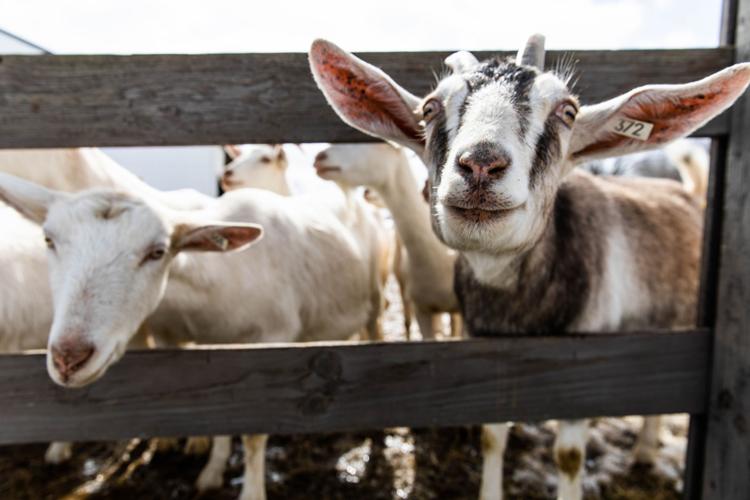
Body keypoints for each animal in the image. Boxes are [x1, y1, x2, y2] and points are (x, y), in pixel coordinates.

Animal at [0, 176, 384, 500]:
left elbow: (254, 429)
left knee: (374, 329)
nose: (69, 357)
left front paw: (251, 491)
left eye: (157, 252)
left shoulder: (274, 339)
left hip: (376, 294)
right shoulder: (181, 339)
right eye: (48, 240)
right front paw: (212, 470)